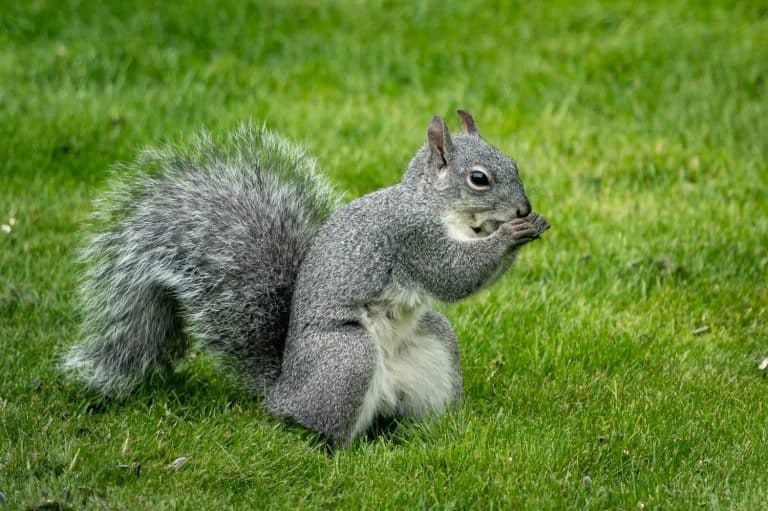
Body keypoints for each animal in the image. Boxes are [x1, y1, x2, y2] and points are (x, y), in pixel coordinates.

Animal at [62, 110, 550, 446]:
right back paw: (335, 450)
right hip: (346, 356)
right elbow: (453, 275)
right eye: (479, 179)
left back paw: (440, 431)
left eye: (513, 163)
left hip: (434, 343)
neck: (437, 207)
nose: (523, 208)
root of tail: (282, 391)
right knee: (321, 427)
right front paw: (513, 233)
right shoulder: (412, 239)